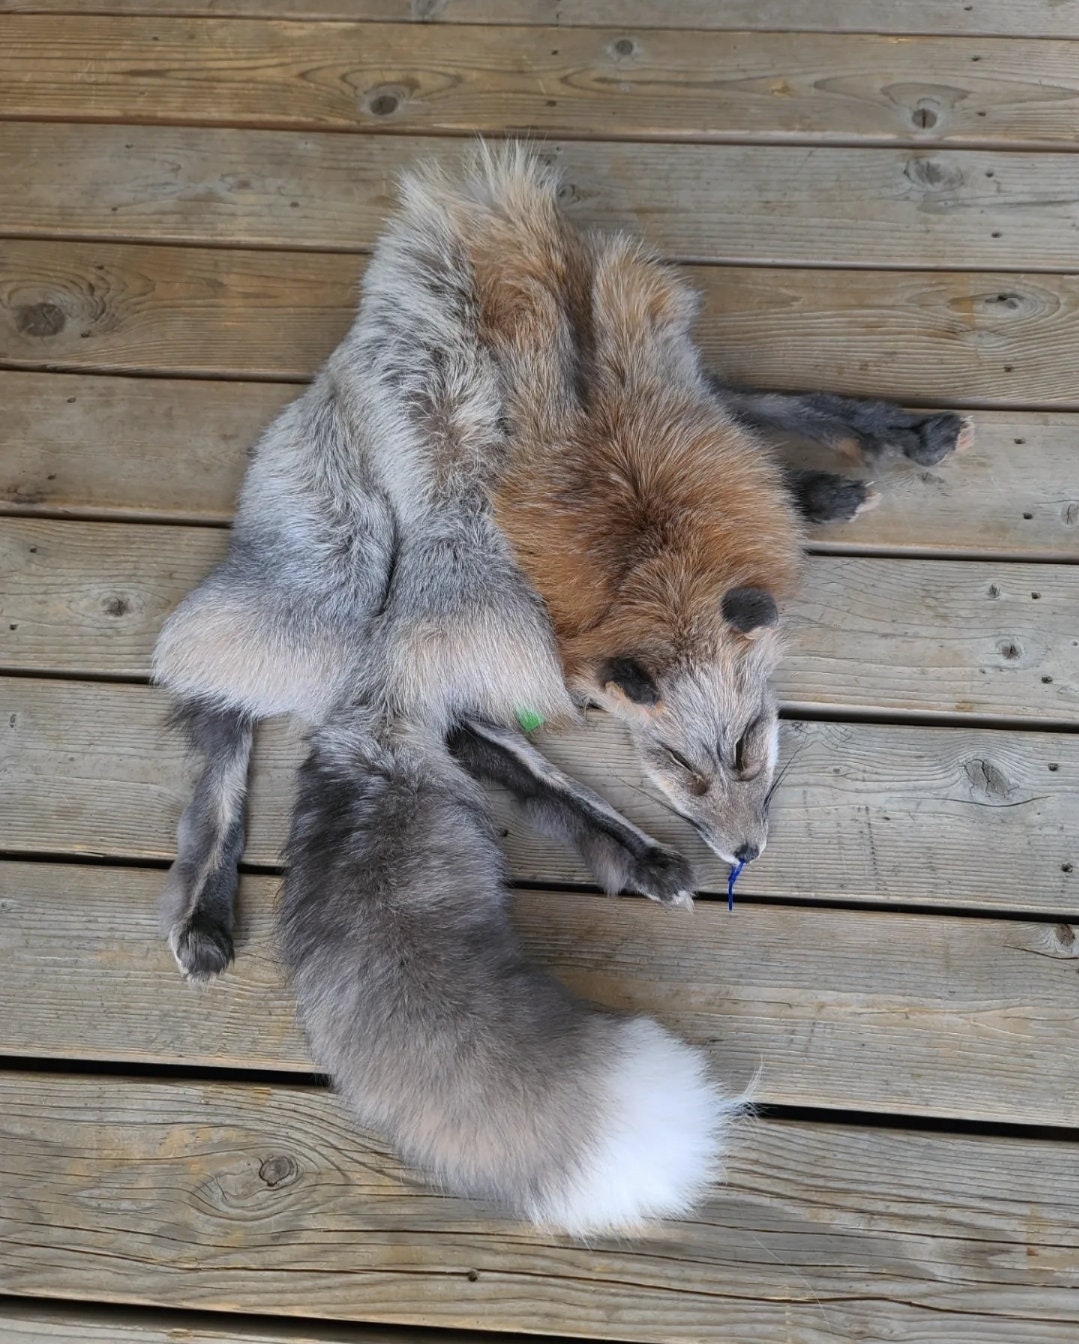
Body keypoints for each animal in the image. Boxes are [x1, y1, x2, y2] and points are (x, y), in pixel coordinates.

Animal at [153, 144, 970, 1231]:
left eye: (749, 745)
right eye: (697, 763)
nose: (744, 851)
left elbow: (772, 414)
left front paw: (870, 451)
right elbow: (765, 422)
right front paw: (833, 478)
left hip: (376, 602)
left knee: (451, 726)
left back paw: (633, 854)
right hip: (349, 579)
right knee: (231, 707)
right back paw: (204, 903)